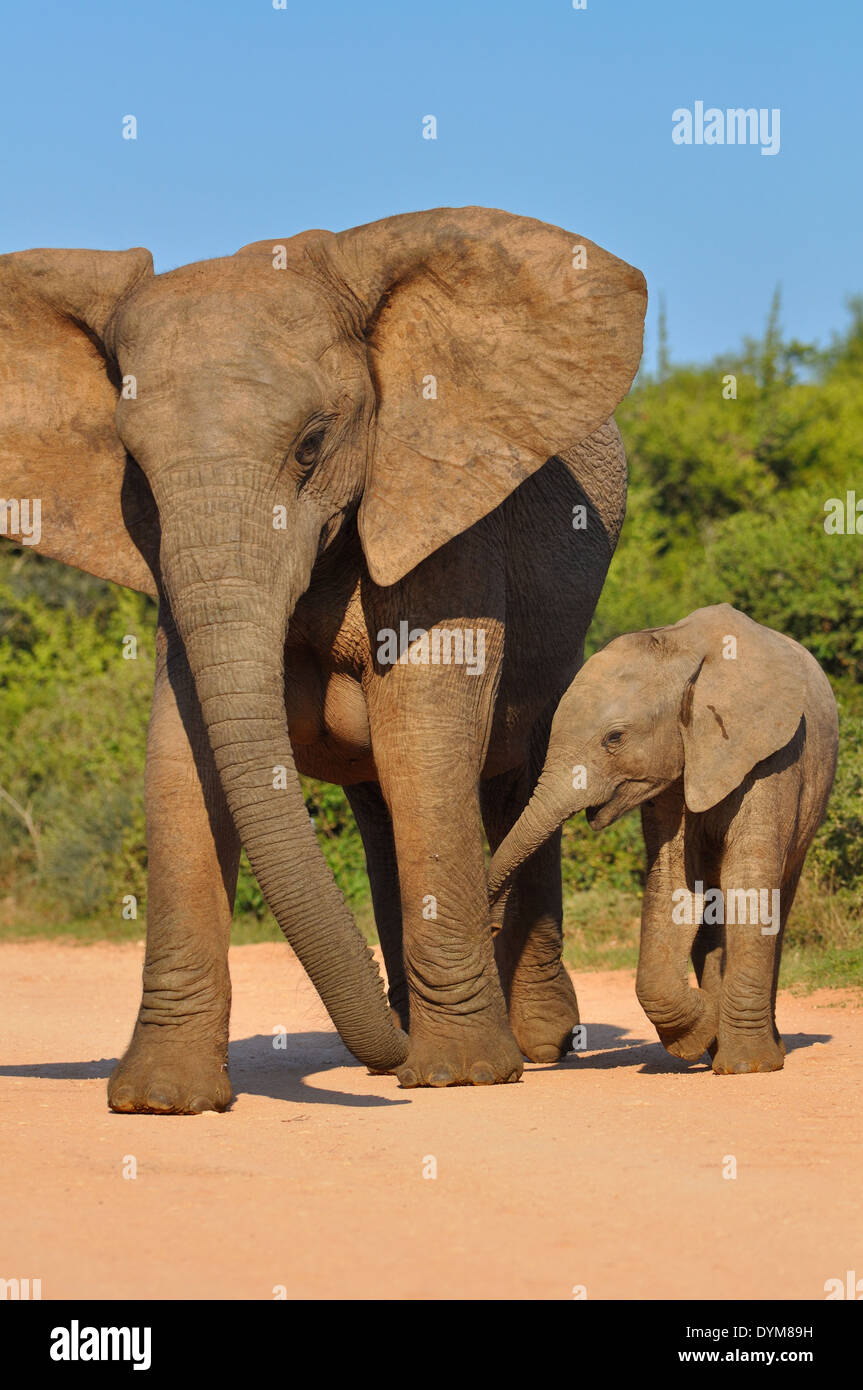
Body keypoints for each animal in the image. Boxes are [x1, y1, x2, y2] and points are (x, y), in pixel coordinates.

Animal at [0, 206, 646, 1110]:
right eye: (134, 471)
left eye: (311, 445)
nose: (384, 1068)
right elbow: (182, 759)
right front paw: (162, 1100)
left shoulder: (436, 501)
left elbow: (424, 743)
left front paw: (459, 1074)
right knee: (383, 809)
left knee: (513, 778)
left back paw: (535, 1043)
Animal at [488, 604, 839, 1074]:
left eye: (614, 738)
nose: (491, 923)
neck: (683, 649)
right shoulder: (672, 772)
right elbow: (676, 882)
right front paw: (700, 1028)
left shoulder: (772, 752)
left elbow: (748, 879)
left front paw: (747, 1065)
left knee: (780, 892)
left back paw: (764, 1048)